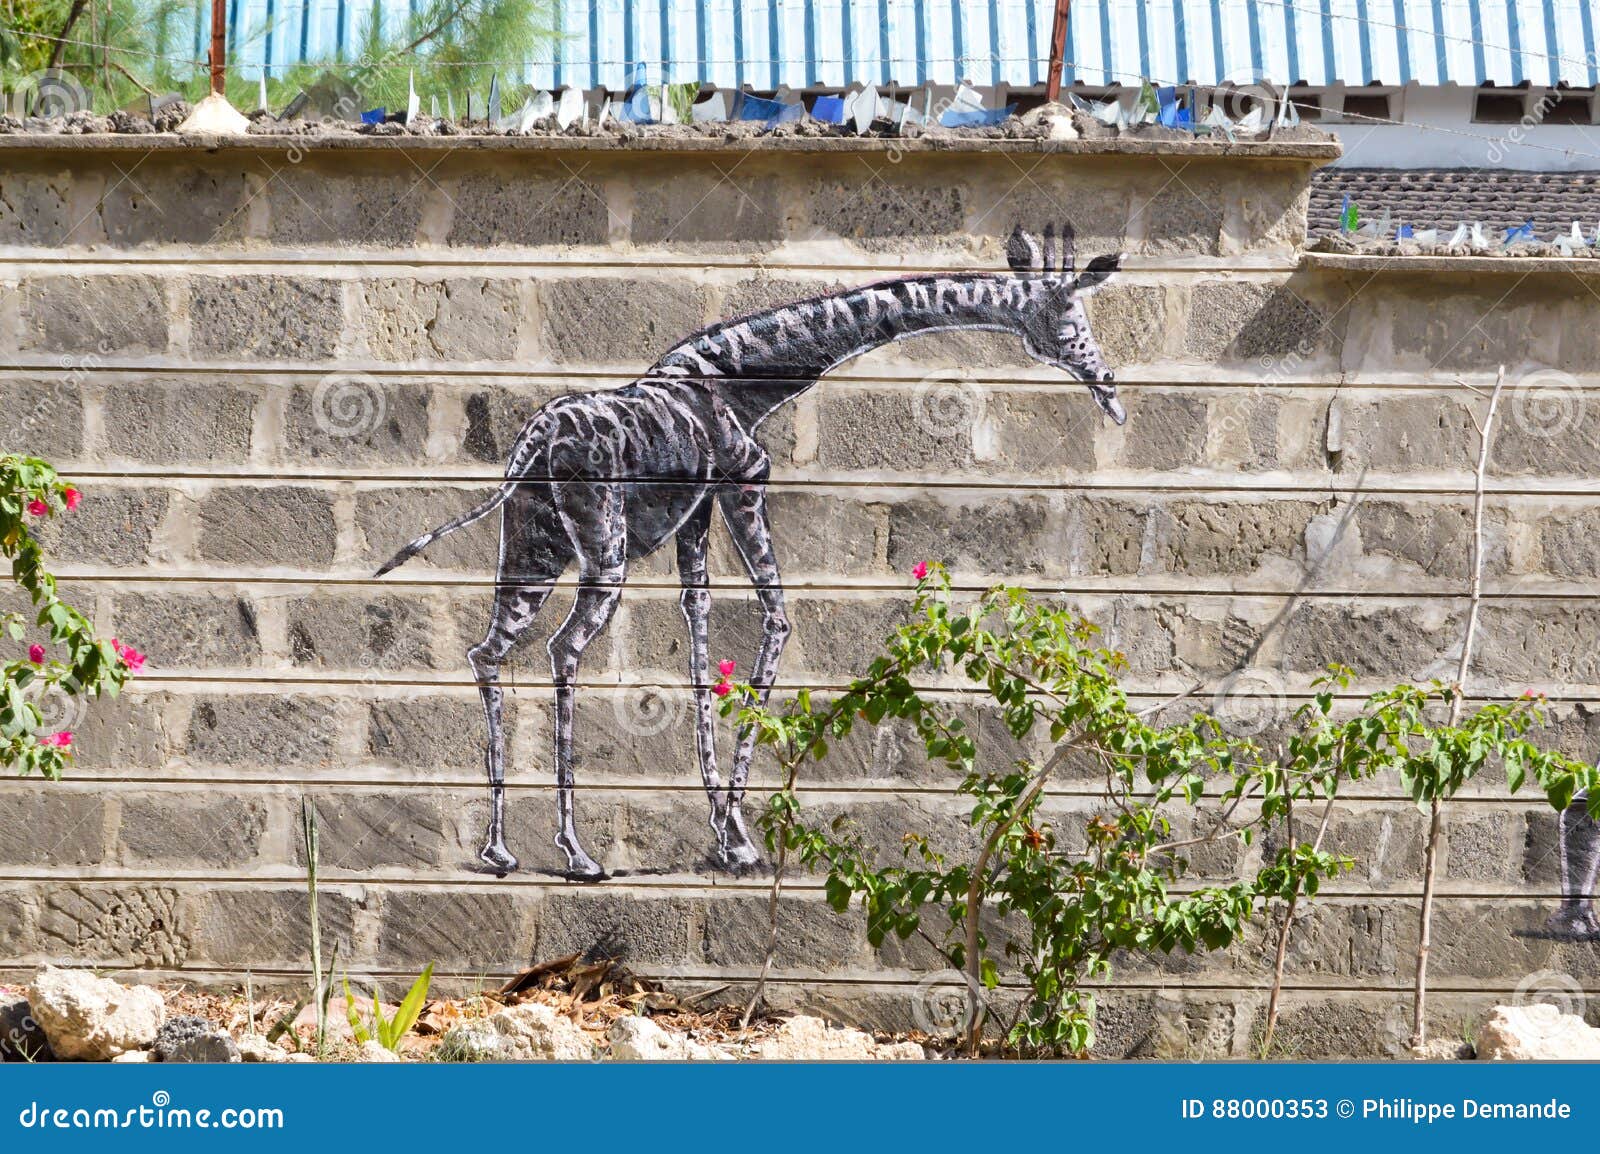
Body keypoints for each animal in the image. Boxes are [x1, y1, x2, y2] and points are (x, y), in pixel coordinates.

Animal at [375, 224, 1126, 880]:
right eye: (1071, 327)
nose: (1112, 394)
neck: (744, 377)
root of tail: (535, 442)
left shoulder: (697, 510)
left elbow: (698, 627)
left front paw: (725, 830)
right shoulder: (743, 485)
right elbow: (776, 619)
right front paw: (738, 833)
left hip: (534, 544)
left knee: (487, 651)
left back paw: (497, 850)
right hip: (601, 550)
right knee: (563, 649)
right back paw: (577, 853)